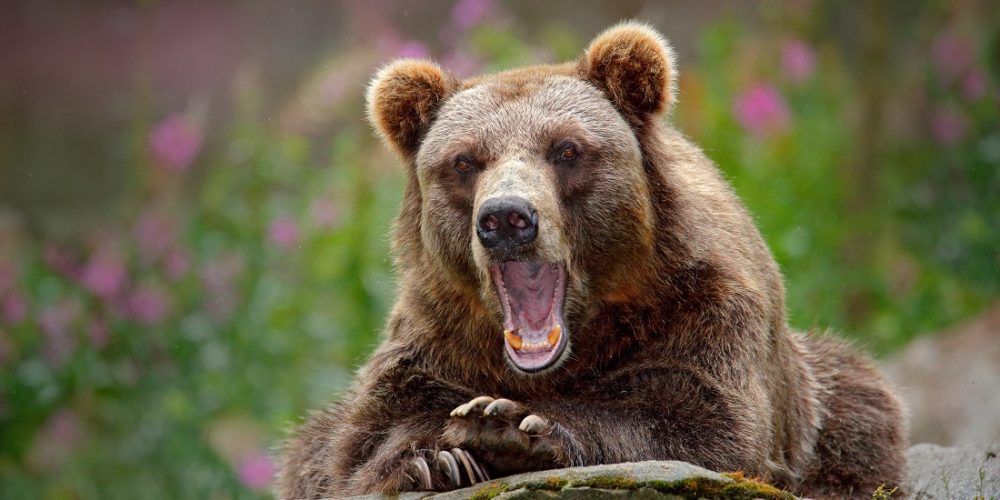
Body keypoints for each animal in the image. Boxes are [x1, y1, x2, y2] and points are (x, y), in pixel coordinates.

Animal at [277, 22, 907, 499]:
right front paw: (437, 459)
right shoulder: (437, 339)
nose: (506, 218)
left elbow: (703, 425)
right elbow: (352, 447)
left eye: (566, 149)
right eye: (463, 161)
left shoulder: (701, 309)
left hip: (819, 399)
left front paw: (512, 424)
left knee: (859, 413)